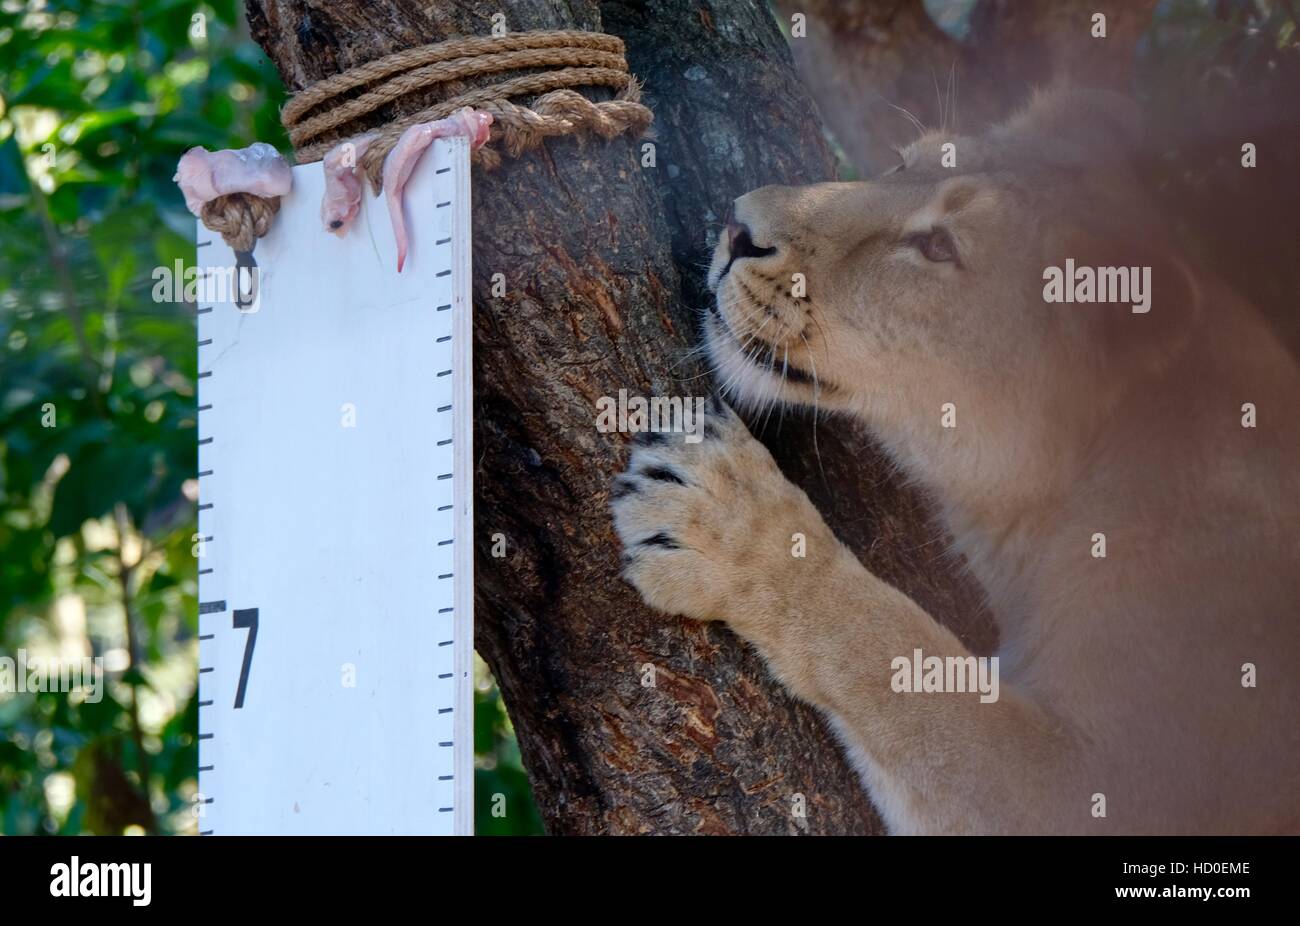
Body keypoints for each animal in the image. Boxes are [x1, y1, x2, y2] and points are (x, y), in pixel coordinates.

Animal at [611, 88, 1300, 834]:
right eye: (899, 163)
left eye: (937, 247)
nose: (739, 227)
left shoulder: (1102, 789)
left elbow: (889, 653)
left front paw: (729, 523)